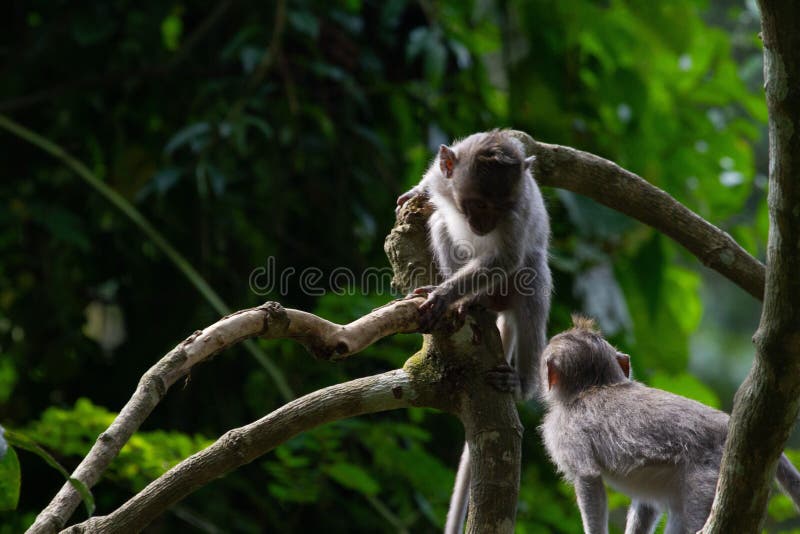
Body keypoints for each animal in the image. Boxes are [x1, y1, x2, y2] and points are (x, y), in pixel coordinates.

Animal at [396, 129, 552, 533]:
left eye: (501, 207)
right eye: (477, 204)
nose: (484, 225)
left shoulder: (517, 213)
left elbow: (505, 258)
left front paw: (444, 295)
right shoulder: (444, 179)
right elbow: (433, 194)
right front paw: (413, 192)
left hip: (515, 288)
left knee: (531, 279)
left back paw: (521, 383)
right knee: (438, 224)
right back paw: (473, 302)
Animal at [539, 316, 800, 534]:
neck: (596, 385)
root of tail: (729, 425)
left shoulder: (564, 429)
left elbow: (588, 477)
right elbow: (647, 503)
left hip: (711, 474)